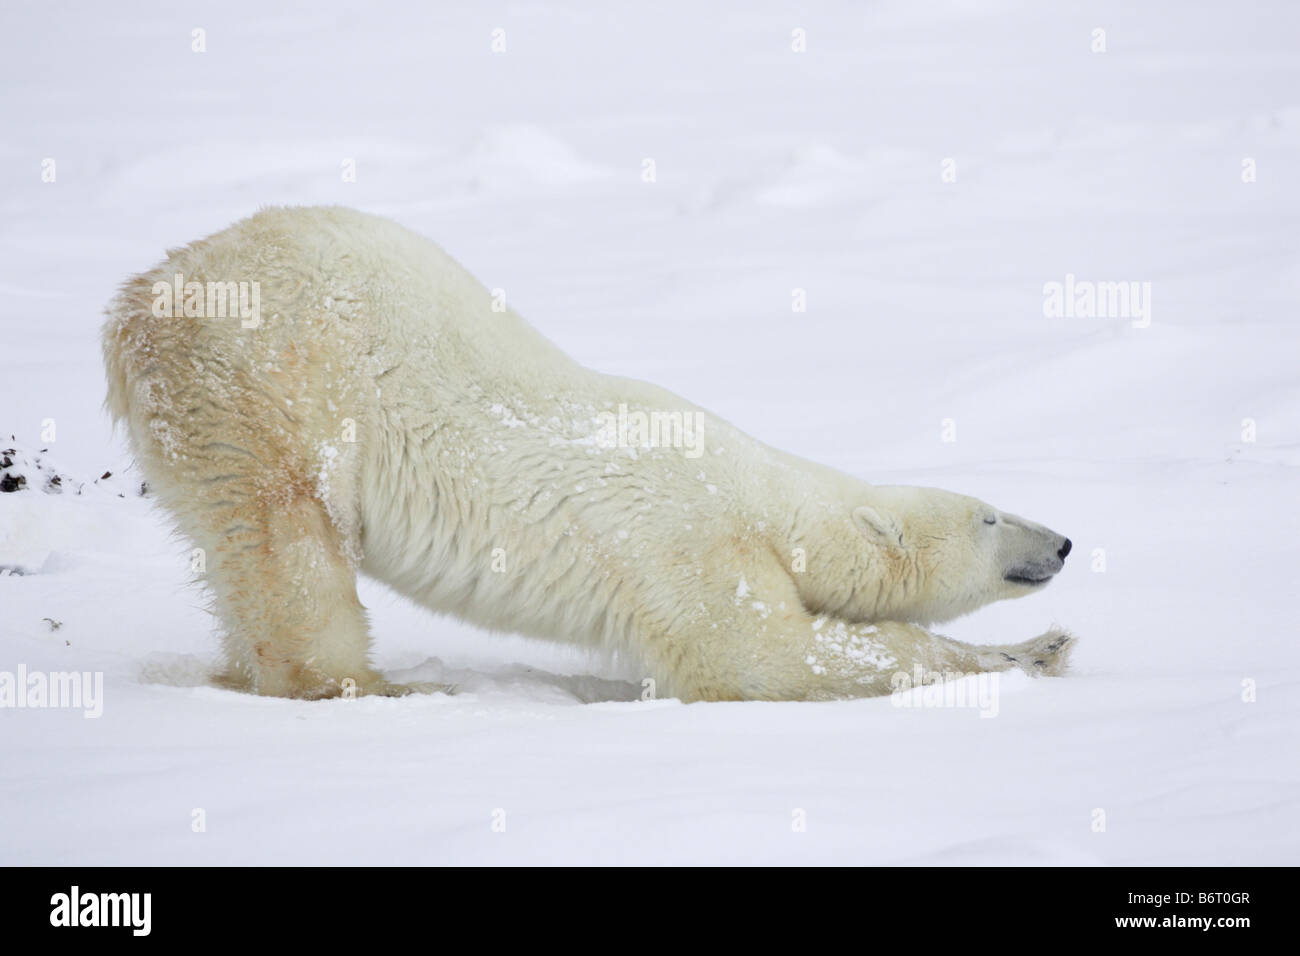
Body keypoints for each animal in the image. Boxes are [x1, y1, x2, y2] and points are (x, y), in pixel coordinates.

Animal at [102, 206, 1075, 701]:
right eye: (992, 516)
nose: (1064, 542)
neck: (767, 501)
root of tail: (137, 300)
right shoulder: (688, 545)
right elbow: (758, 657)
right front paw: (1031, 654)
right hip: (267, 383)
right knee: (288, 538)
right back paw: (363, 684)